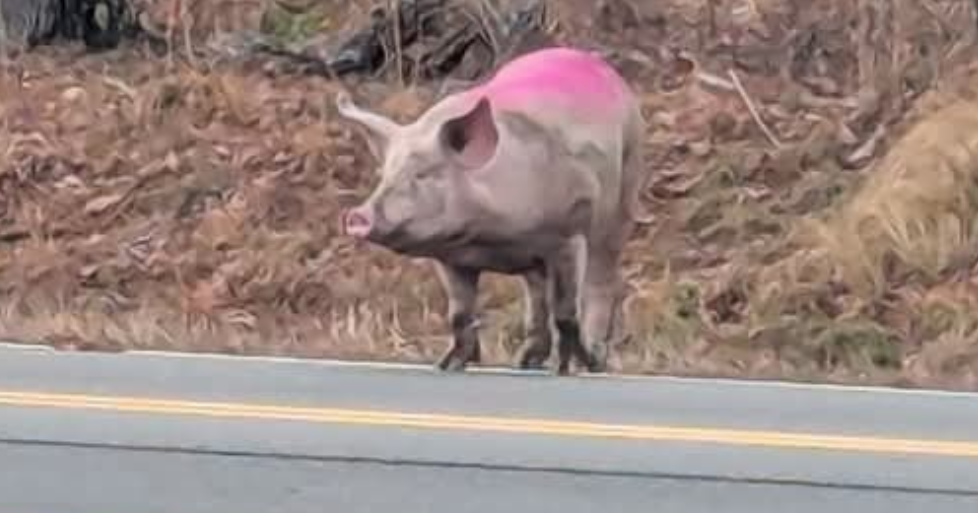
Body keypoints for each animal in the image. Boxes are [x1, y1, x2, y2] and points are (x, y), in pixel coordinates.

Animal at [336, 46, 647, 375]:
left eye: (423, 174)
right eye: (385, 174)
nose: (357, 215)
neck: (485, 238)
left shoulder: (569, 233)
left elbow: (565, 311)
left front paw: (564, 370)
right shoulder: (450, 258)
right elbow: (459, 315)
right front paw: (446, 366)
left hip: (625, 192)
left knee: (602, 277)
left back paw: (592, 361)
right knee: (536, 291)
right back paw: (525, 363)